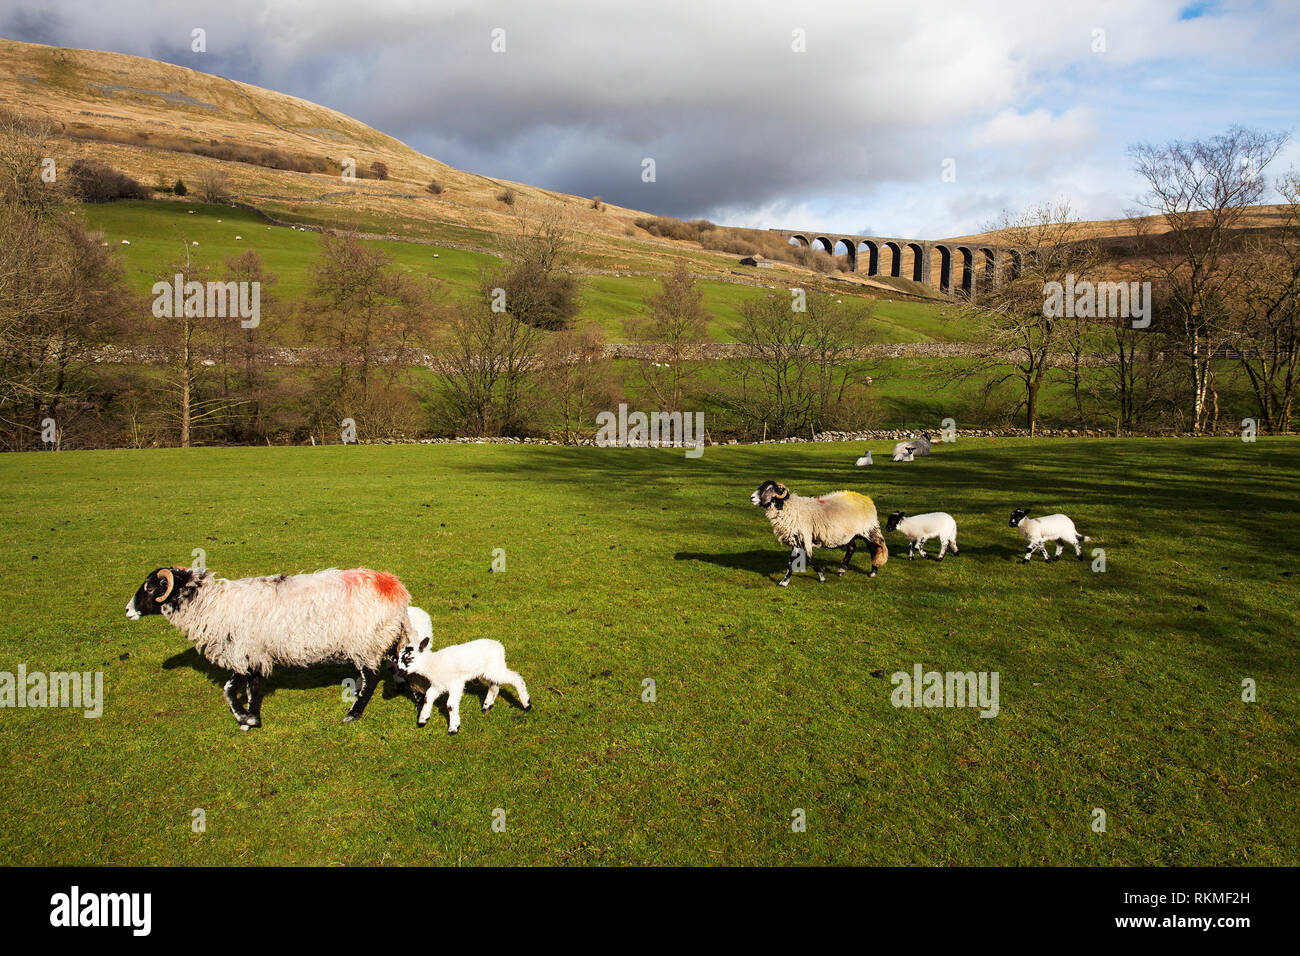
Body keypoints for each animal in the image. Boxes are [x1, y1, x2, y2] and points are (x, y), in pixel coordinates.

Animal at [126, 566, 411, 729]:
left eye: (150, 587)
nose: (127, 610)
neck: (211, 606)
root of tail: (394, 588)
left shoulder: (243, 651)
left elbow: (229, 690)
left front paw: (245, 718)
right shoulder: (253, 654)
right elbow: (252, 688)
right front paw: (252, 718)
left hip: (366, 643)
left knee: (371, 678)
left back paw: (353, 713)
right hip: (381, 640)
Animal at [394, 628, 531, 734]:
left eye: (408, 658)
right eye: (398, 658)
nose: (398, 672)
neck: (432, 664)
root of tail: (499, 645)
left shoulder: (456, 684)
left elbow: (450, 705)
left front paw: (453, 728)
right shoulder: (437, 685)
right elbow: (428, 698)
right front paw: (423, 720)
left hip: (495, 668)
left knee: (516, 677)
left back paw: (527, 704)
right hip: (487, 671)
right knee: (494, 684)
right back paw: (487, 705)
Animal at [750, 480, 888, 586]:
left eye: (769, 489)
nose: (751, 498)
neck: (788, 507)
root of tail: (867, 499)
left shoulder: (804, 536)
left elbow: (808, 559)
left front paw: (822, 577)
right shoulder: (796, 538)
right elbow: (791, 561)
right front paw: (784, 581)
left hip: (869, 529)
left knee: (875, 548)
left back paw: (873, 571)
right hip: (848, 534)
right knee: (852, 548)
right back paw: (841, 570)